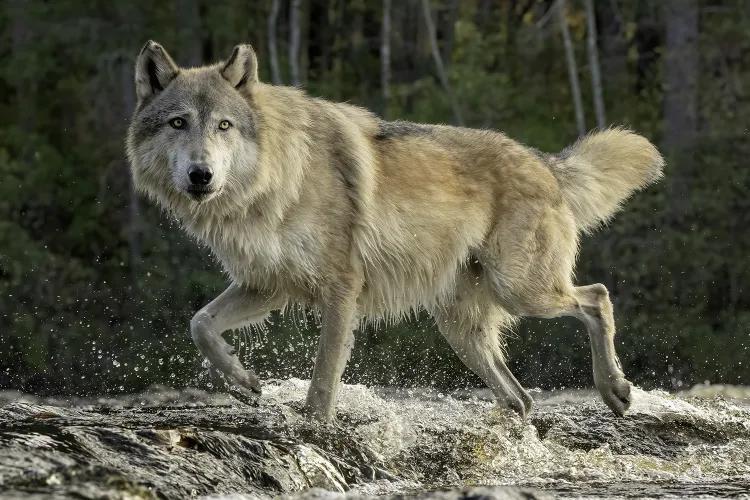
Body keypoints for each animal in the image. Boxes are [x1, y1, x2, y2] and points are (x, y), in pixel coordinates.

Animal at [127, 41, 663, 422]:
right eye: (178, 123)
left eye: (223, 126)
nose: (201, 176)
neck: (274, 180)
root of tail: (544, 162)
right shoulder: (269, 285)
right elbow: (200, 324)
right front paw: (243, 381)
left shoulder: (340, 289)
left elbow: (324, 379)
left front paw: (313, 427)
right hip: (461, 328)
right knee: (522, 398)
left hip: (522, 290)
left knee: (597, 297)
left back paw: (615, 391)